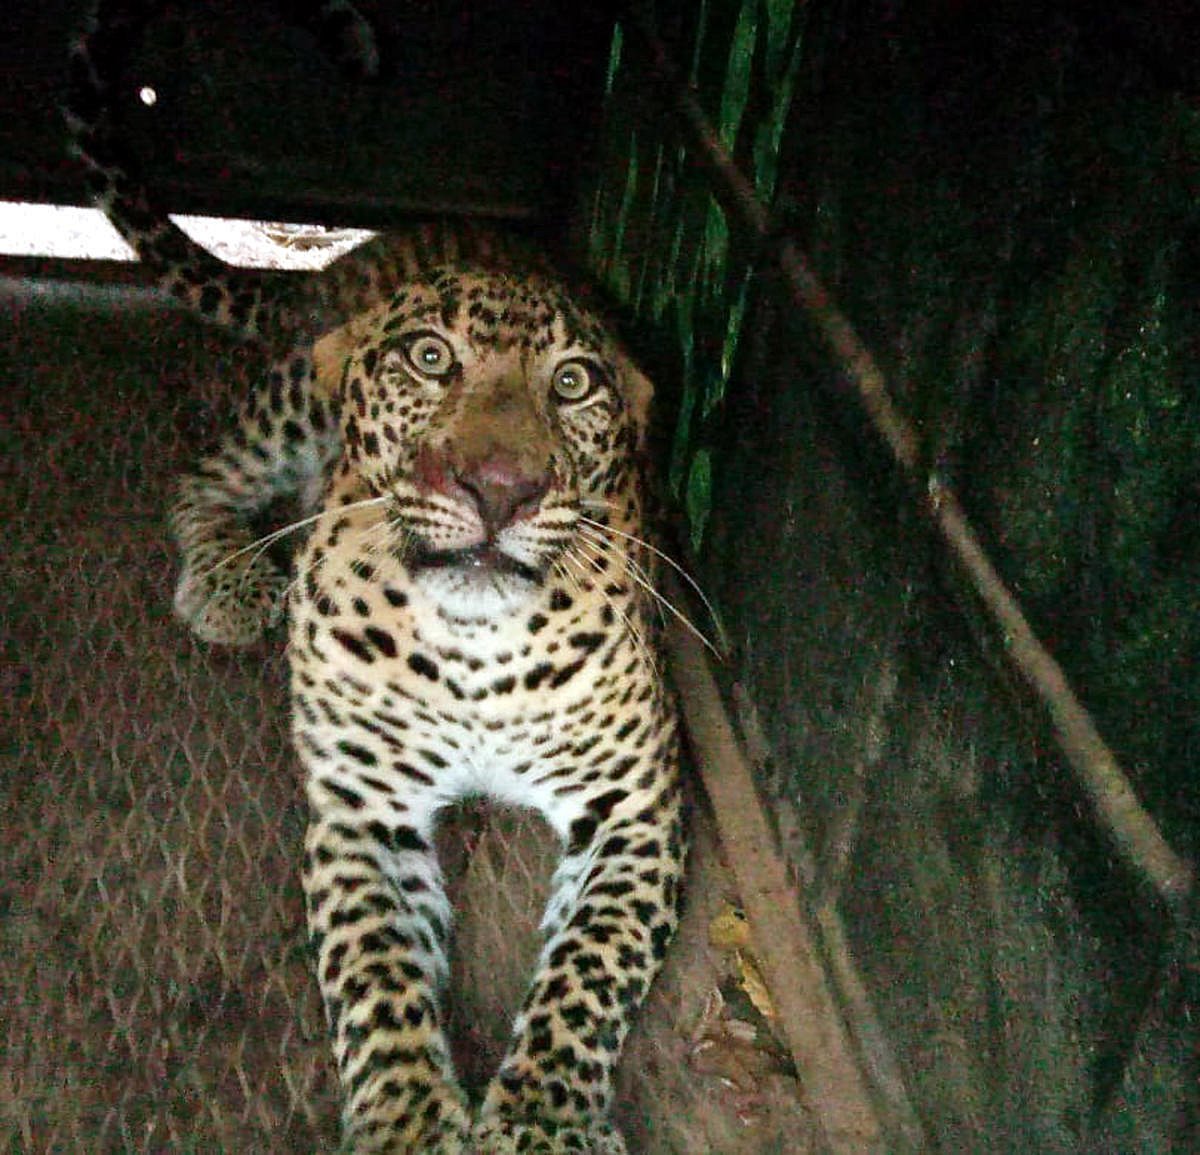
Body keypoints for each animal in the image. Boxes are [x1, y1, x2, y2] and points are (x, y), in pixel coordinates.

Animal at [65, 3, 688, 1151]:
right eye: (430, 360)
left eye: (574, 383)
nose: (499, 487)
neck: (479, 650)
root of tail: (357, 255)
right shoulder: (362, 811)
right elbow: (380, 982)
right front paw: (409, 1120)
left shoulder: (636, 805)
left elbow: (587, 974)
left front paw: (543, 1115)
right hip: (287, 412)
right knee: (200, 479)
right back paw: (230, 582)